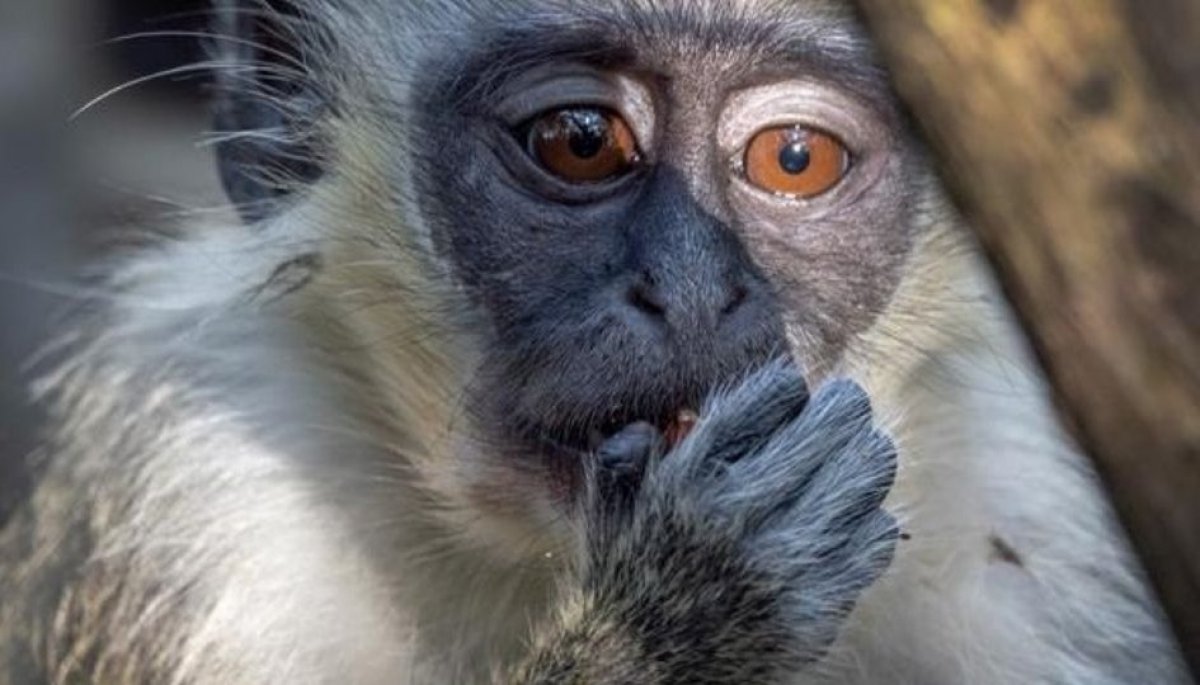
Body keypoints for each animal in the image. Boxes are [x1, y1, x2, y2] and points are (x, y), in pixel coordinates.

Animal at [0, 0, 1189, 683]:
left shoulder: (1044, 533)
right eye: (581, 140)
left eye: (793, 157)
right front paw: (691, 603)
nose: (695, 291)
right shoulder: (189, 496)